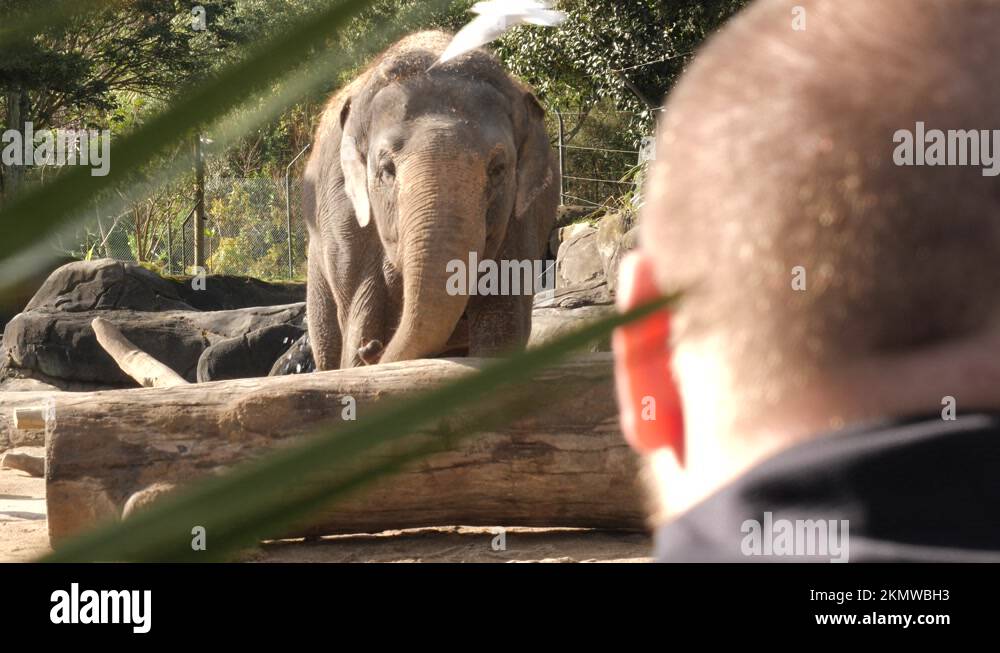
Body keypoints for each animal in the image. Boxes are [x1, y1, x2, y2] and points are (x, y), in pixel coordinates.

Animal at [303, 30, 559, 370]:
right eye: (386, 169)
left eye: (498, 168)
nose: (373, 348)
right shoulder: (342, 215)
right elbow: (359, 324)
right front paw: (362, 350)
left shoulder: (524, 218)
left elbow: (502, 330)